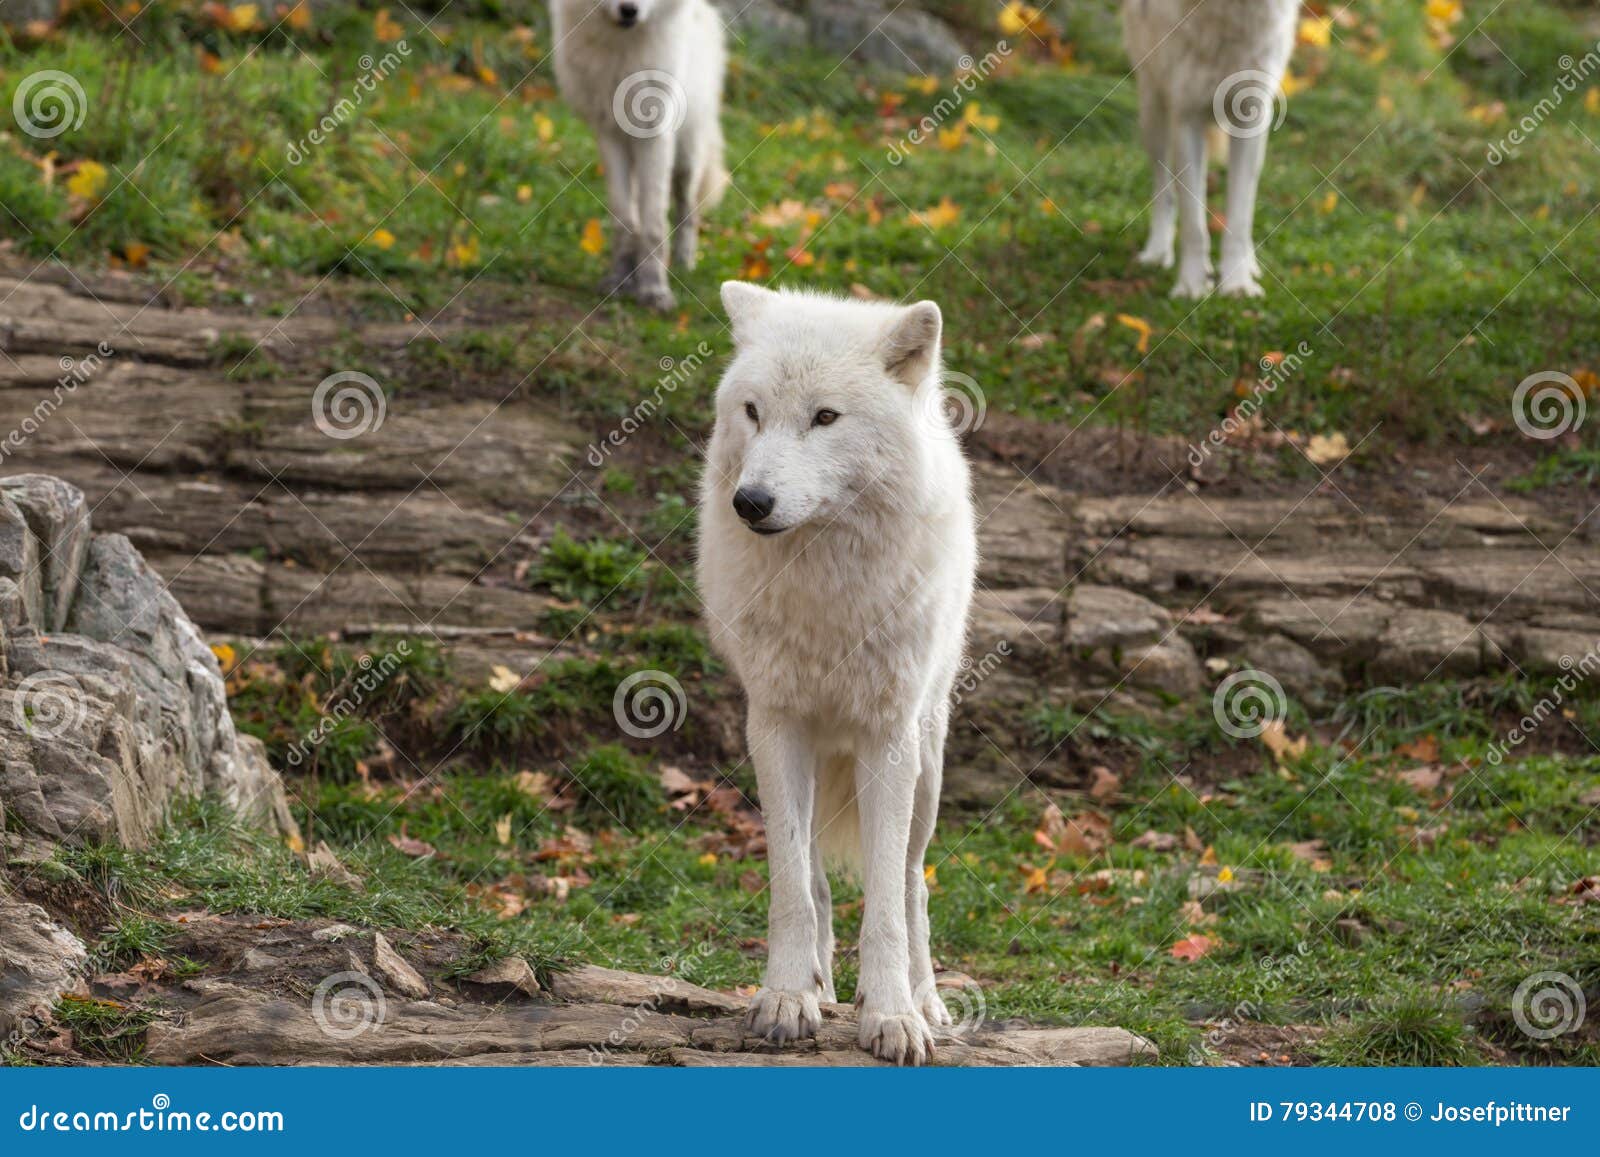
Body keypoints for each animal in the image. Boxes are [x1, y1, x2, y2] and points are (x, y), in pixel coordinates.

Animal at [551, 0, 728, 311]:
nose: (628, 10)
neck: (623, 51)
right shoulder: (609, 136)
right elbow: (626, 220)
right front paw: (620, 281)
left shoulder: (655, 137)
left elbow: (654, 224)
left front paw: (655, 290)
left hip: (685, 160)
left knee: (688, 210)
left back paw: (684, 263)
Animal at [696, 283, 979, 1065]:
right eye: (753, 411)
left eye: (825, 417)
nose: (751, 502)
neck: (824, 581)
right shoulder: (774, 725)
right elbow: (792, 886)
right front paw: (786, 997)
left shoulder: (888, 738)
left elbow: (883, 902)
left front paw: (892, 1015)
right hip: (815, 759)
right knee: (817, 875)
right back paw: (821, 984)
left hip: (928, 762)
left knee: (913, 881)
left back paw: (927, 998)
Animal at [1123, 0, 1299, 297]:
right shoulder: (1186, 118)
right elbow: (1194, 225)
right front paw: (1191, 287)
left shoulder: (1252, 121)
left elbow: (1240, 219)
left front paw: (1238, 284)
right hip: (1153, 112)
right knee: (1164, 191)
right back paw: (1158, 253)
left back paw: (1250, 265)